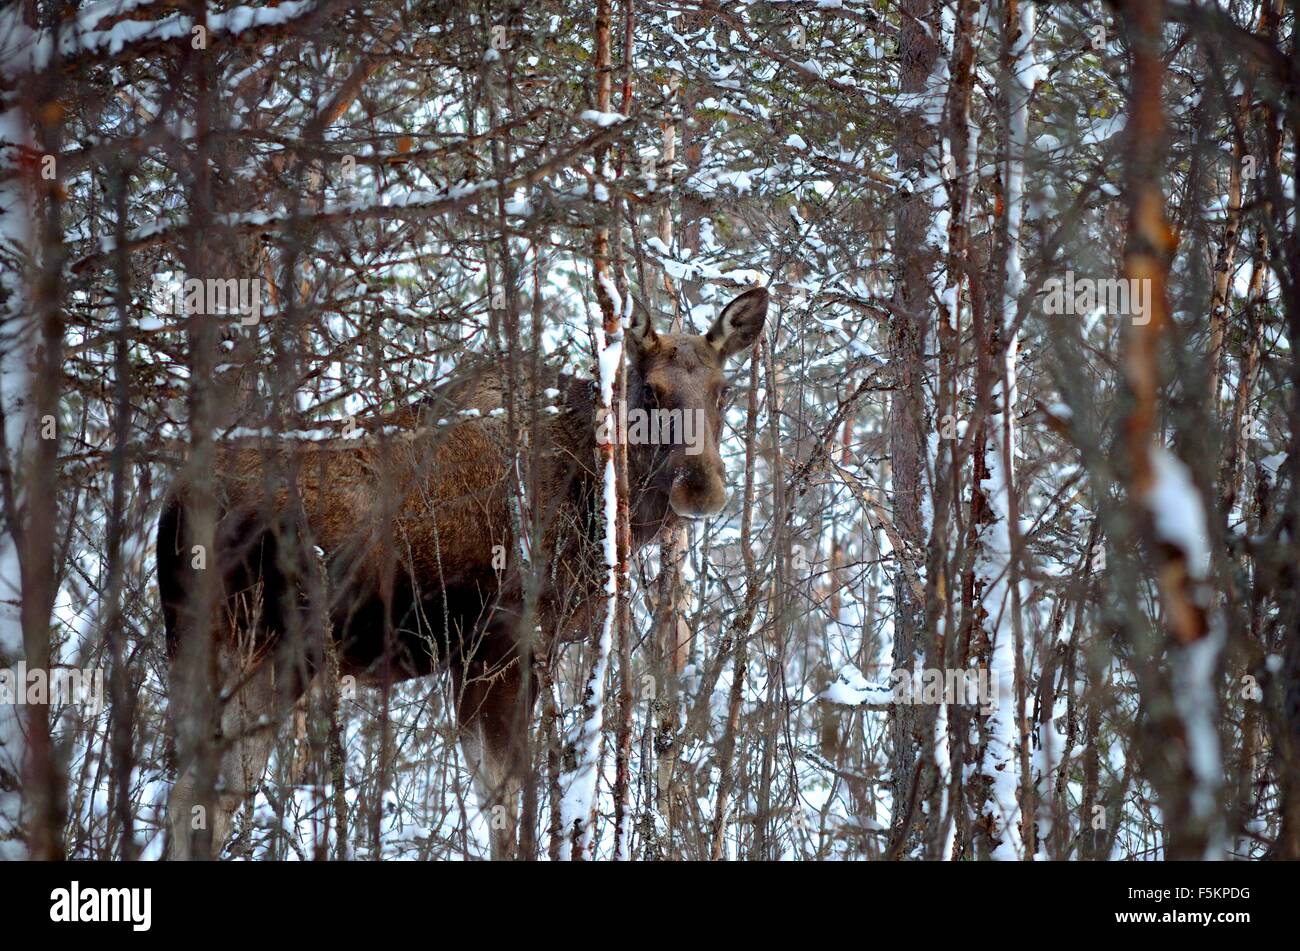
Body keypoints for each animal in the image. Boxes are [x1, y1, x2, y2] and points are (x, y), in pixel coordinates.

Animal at [156, 286, 769, 860]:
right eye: (650, 392)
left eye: (723, 391)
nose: (700, 487)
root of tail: (174, 504)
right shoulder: (499, 644)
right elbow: (506, 802)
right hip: (268, 647)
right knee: (201, 796)